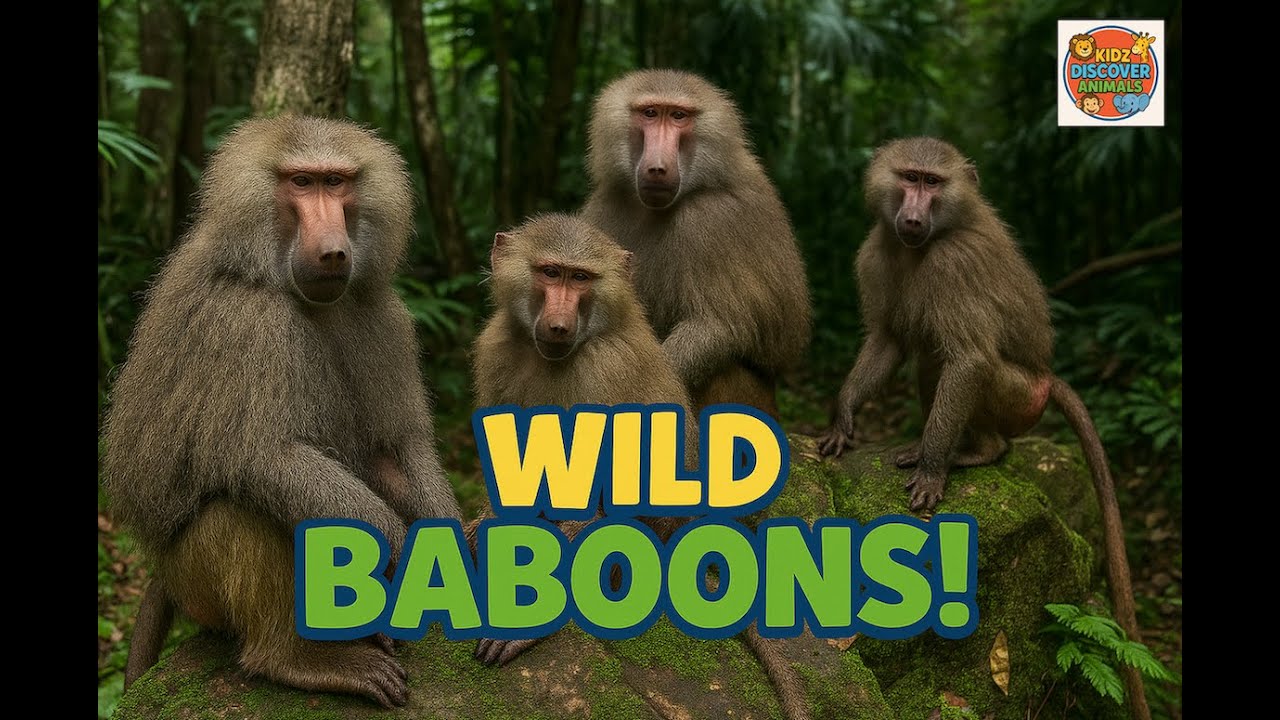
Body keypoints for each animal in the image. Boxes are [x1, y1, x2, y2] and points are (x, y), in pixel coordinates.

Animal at [104, 116, 461, 708]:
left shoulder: (382, 314)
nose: (334, 251)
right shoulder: (250, 321)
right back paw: (298, 660)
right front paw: (396, 549)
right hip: (195, 582)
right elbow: (262, 456)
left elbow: (397, 448)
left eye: (336, 182)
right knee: (245, 507)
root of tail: (163, 574)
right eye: (301, 183)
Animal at [582, 69, 812, 419]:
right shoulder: (606, 206)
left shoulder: (710, 218)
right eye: (650, 113)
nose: (658, 168)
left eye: (679, 116)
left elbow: (717, 327)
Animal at [815, 137, 1148, 720]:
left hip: (1021, 398)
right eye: (909, 177)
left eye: (933, 183)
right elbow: (888, 340)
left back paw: (973, 450)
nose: (913, 216)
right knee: (931, 354)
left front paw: (931, 469)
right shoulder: (876, 250)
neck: (925, 244)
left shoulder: (954, 264)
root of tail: (1046, 375)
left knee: (965, 359)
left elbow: (969, 359)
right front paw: (844, 415)